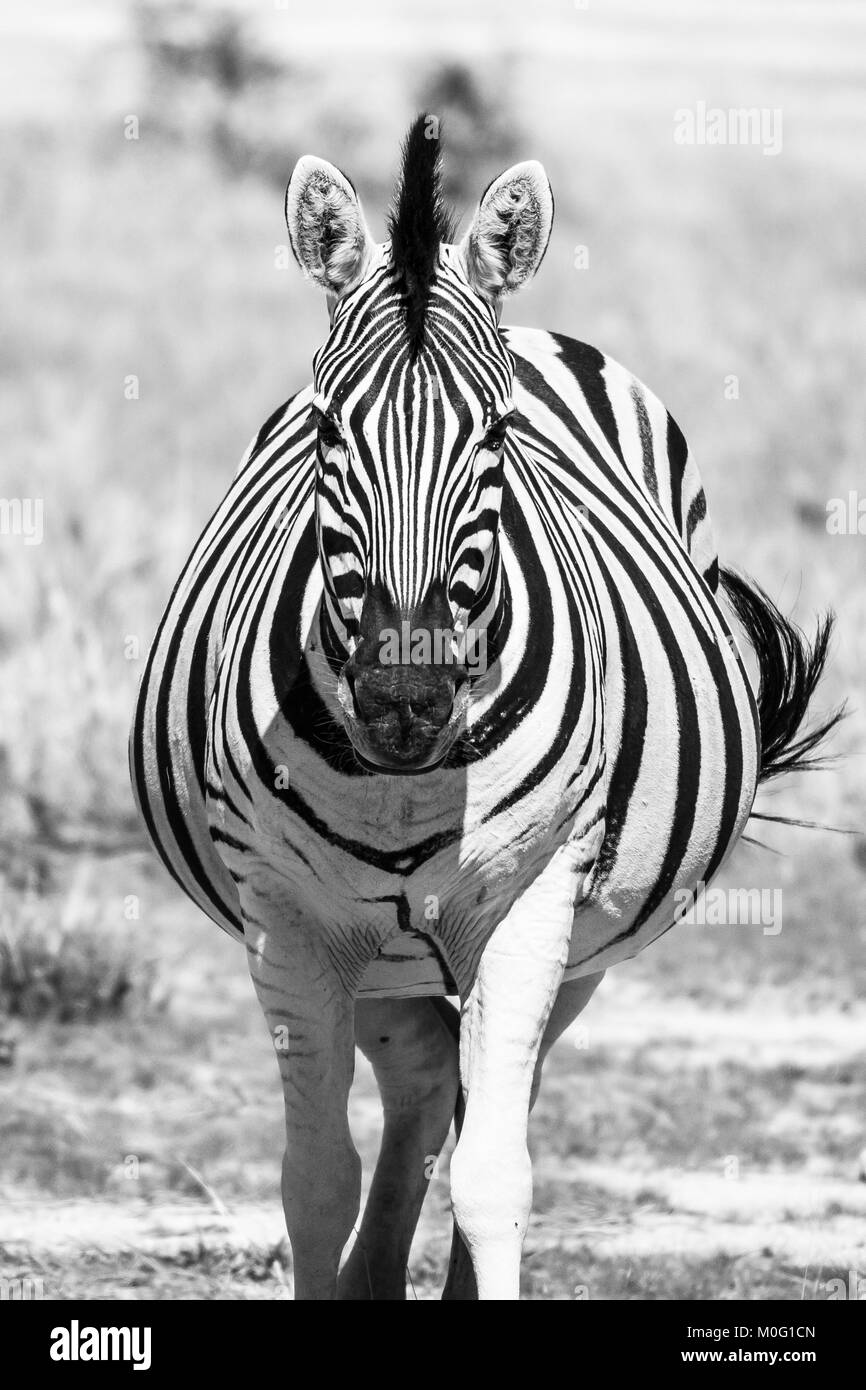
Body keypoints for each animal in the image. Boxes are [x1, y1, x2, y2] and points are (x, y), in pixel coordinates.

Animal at [130, 116, 841, 1300]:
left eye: (498, 438)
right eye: (327, 434)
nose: (403, 704)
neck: (406, 789)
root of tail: (543, 328)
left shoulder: (533, 901)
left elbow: (495, 1177)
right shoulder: (288, 922)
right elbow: (315, 1180)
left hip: (574, 943)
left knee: (493, 1101)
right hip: (383, 953)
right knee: (424, 1084)